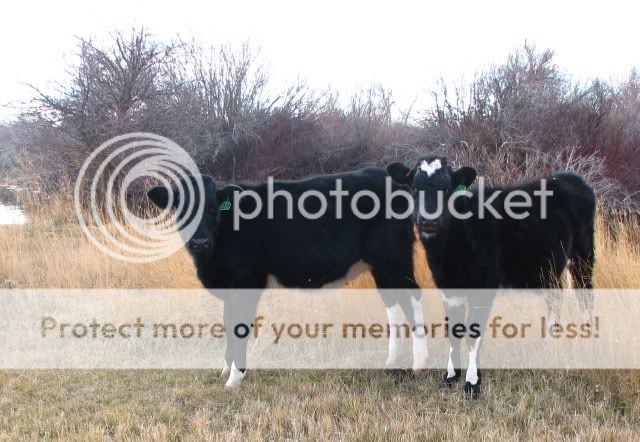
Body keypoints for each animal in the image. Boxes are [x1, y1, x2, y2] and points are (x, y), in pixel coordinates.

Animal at [147, 170, 428, 387]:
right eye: (180, 209)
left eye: (213, 207)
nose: (199, 242)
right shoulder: (229, 287)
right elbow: (227, 324)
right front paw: (225, 369)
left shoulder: (246, 282)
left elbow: (239, 327)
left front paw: (235, 379)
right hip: (380, 266)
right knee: (393, 303)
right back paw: (391, 361)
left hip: (394, 259)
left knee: (413, 298)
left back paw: (420, 364)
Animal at [387, 155, 596, 396]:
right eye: (414, 188)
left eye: (446, 188)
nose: (429, 221)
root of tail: (572, 177)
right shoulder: (448, 287)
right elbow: (454, 330)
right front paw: (451, 376)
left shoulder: (482, 288)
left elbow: (473, 333)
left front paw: (472, 382)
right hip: (549, 269)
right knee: (556, 299)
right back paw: (549, 344)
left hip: (583, 255)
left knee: (586, 297)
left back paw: (587, 341)